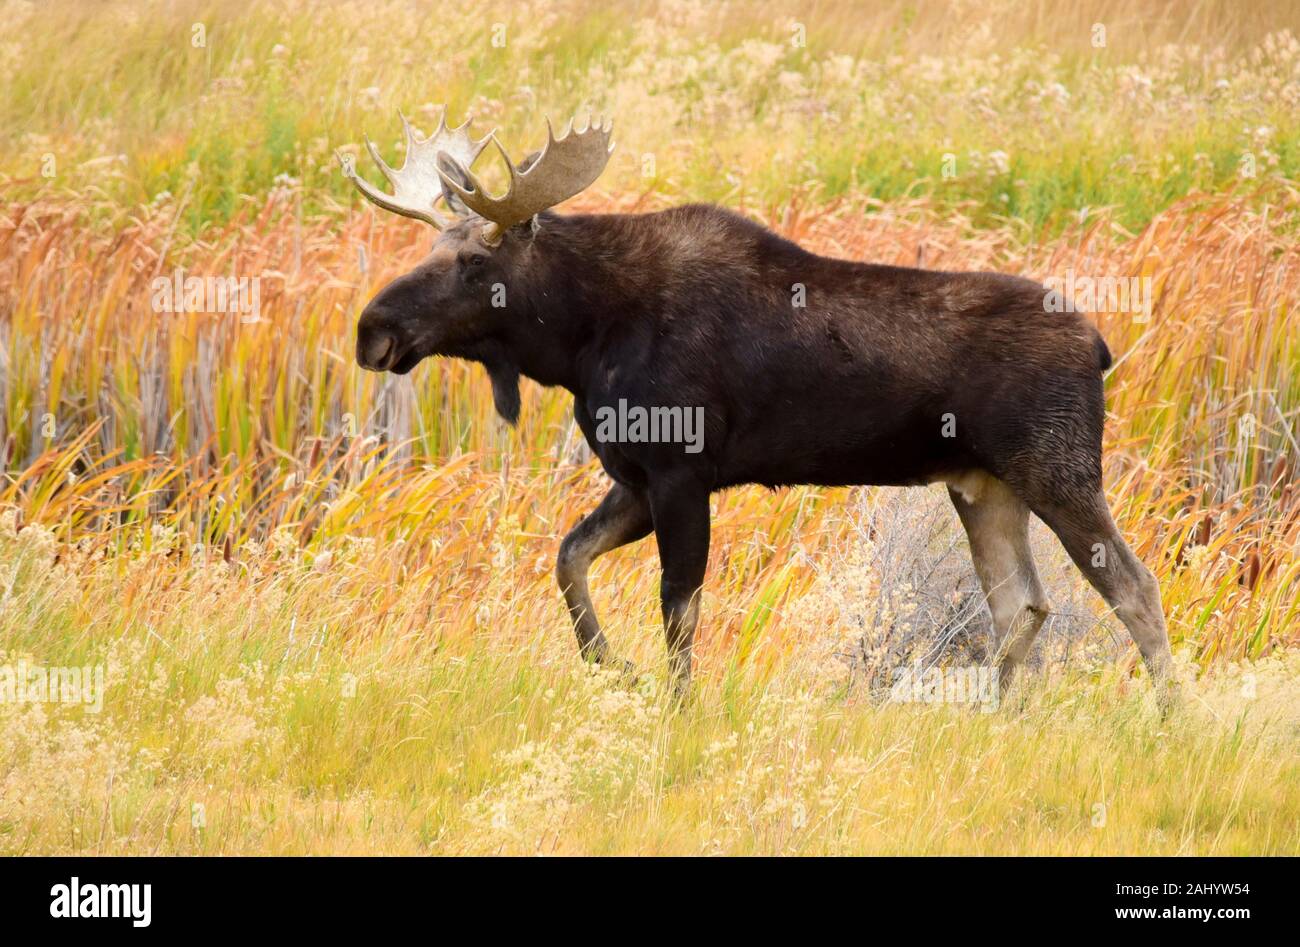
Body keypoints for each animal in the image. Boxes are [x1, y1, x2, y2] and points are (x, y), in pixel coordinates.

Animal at [339, 108, 1177, 708]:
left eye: (476, 263)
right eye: (434, 246)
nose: (372, 329)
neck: (580, 338)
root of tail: (1099, 342)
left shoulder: (680, 471)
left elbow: (678, 607)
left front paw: (675, 706)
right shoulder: (635, 478)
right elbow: (569, 558)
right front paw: (614, 668)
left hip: (1057, 470)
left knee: (1134, 588)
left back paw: (1172, 719)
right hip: (984, 487)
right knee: (1021, 605)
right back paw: (1003, 715)